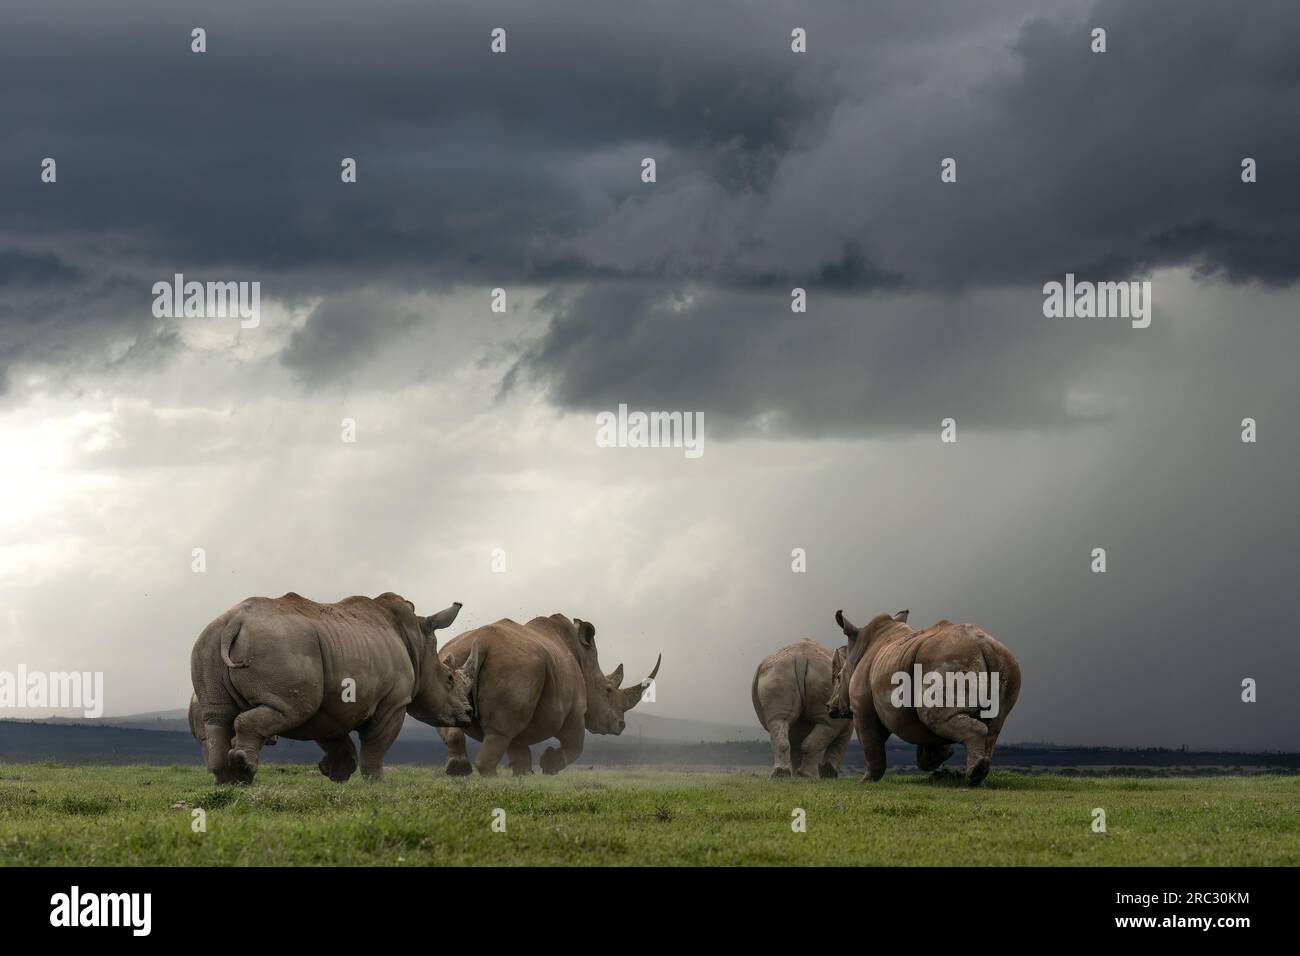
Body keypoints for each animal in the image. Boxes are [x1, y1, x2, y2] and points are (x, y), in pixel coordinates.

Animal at [190, 591, 475, 784]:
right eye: (449, 679)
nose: (469, 713)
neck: (418, 643)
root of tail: (234, 622)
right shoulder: (395, 701)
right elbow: (376, 744)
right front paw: (376, 782)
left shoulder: (331, 702)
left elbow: (333, 735)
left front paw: (335, 773)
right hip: (282, 645)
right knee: (289, 710)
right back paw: (242, 770)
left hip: (208, 641)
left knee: (217, 716)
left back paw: (228, 779)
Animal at [435, 614, 660, 776]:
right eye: (608, 690)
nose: (621, 725)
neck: (584, 659)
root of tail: (480, 643)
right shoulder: (575, 710)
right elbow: (575, 746)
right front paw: (548, 766)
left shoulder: (525, 712)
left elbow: (519, 751)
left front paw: (523, 777)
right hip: (515, 668)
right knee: (499, 734)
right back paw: (490, 779)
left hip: (450, 659)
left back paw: (457, 770)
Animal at [752, 640, 852, 779]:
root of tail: (801, 657)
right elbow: (840, 743)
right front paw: (829, 775)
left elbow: (795, 743)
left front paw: (795, 774)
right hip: (827, 678)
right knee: (830, 725)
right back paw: (810, 776)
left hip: (777, 672)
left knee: (779, 721)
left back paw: (781, 775)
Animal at [828, 609, 1020, 785]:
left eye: (838, 677)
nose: (830, 707)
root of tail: (986, 646)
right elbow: (926, 742)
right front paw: (942, 755)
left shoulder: (862, 710)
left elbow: (871, 747)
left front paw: (865, 781)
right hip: (1006, 664)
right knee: (992, 727)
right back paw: (979, 778)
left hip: (948, 658)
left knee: (934, 717)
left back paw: (974, 776)